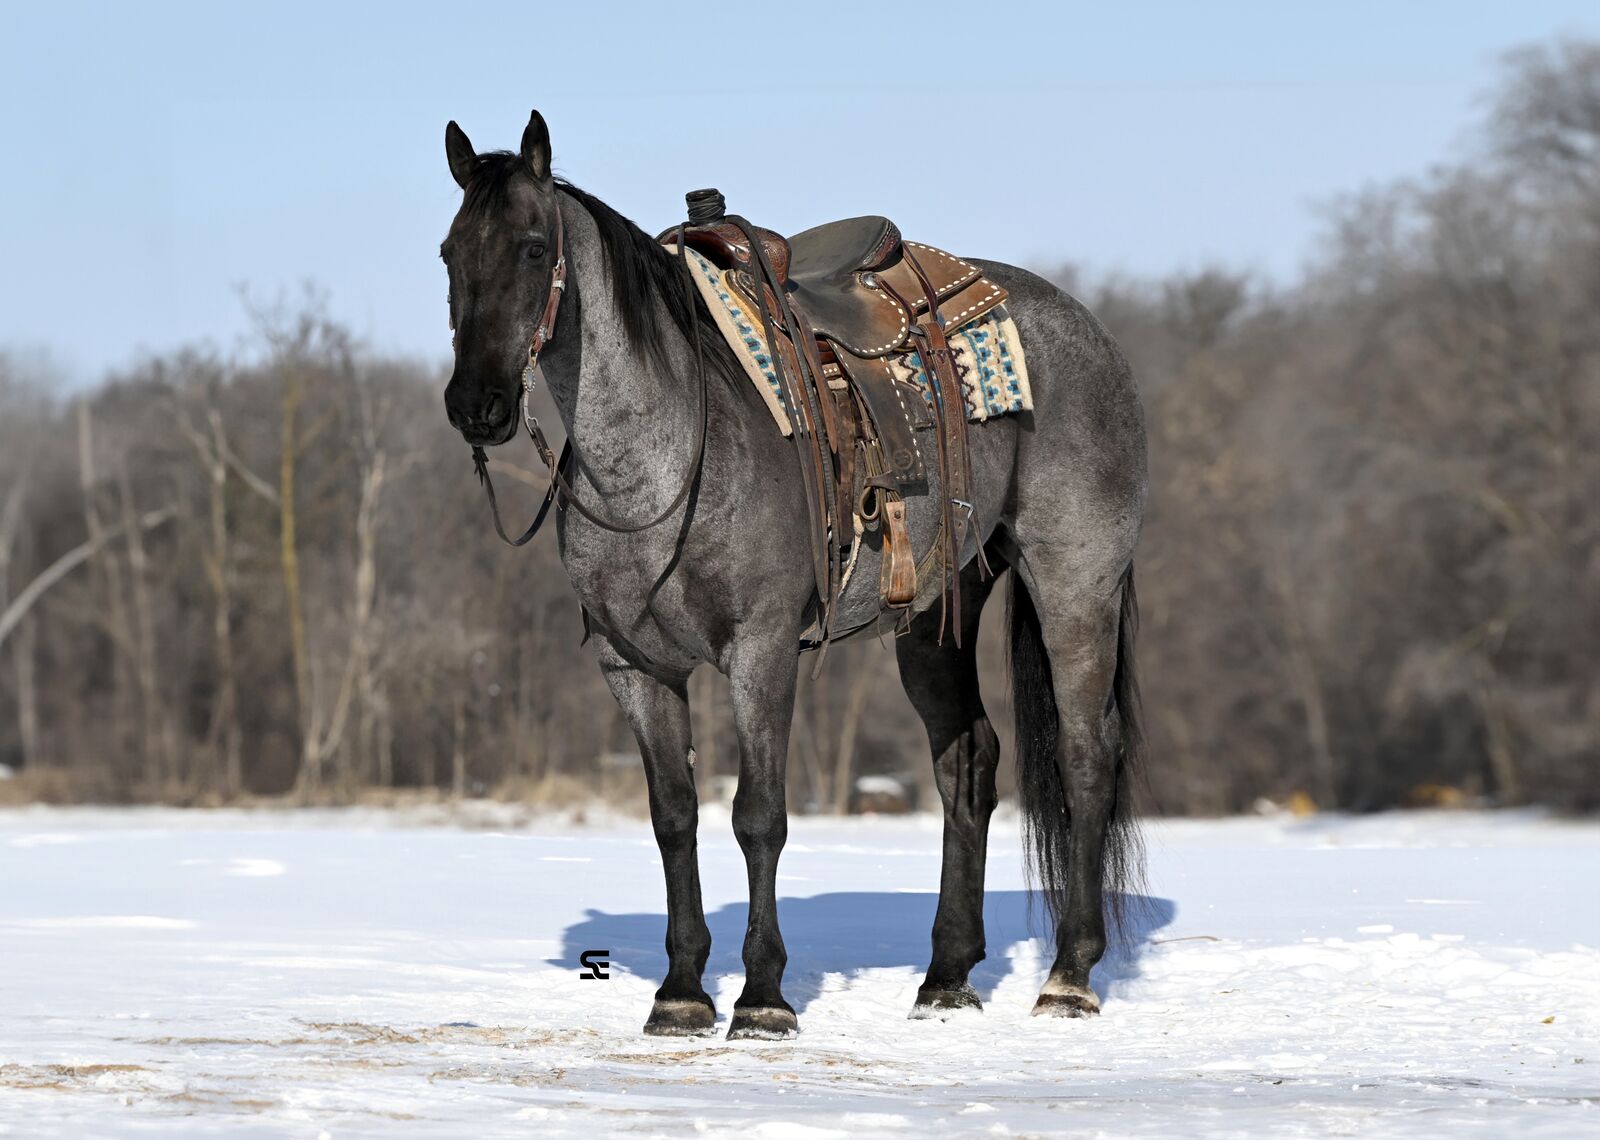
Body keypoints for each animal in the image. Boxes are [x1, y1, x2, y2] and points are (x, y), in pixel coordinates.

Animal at [439, 109, 1147, 1040]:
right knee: (968, 763)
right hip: (936, 615)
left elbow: (758, 817)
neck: (664, 457)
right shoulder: (634, 667)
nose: (475, 405)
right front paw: (680, 993)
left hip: (1074, 582)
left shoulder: (762, 651)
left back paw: (1068, 977)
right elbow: (674, 817)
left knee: (1085, 752)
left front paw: (763, 997)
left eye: (530, 247)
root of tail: (1090, 331)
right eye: (449, 253)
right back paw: (945, 977)